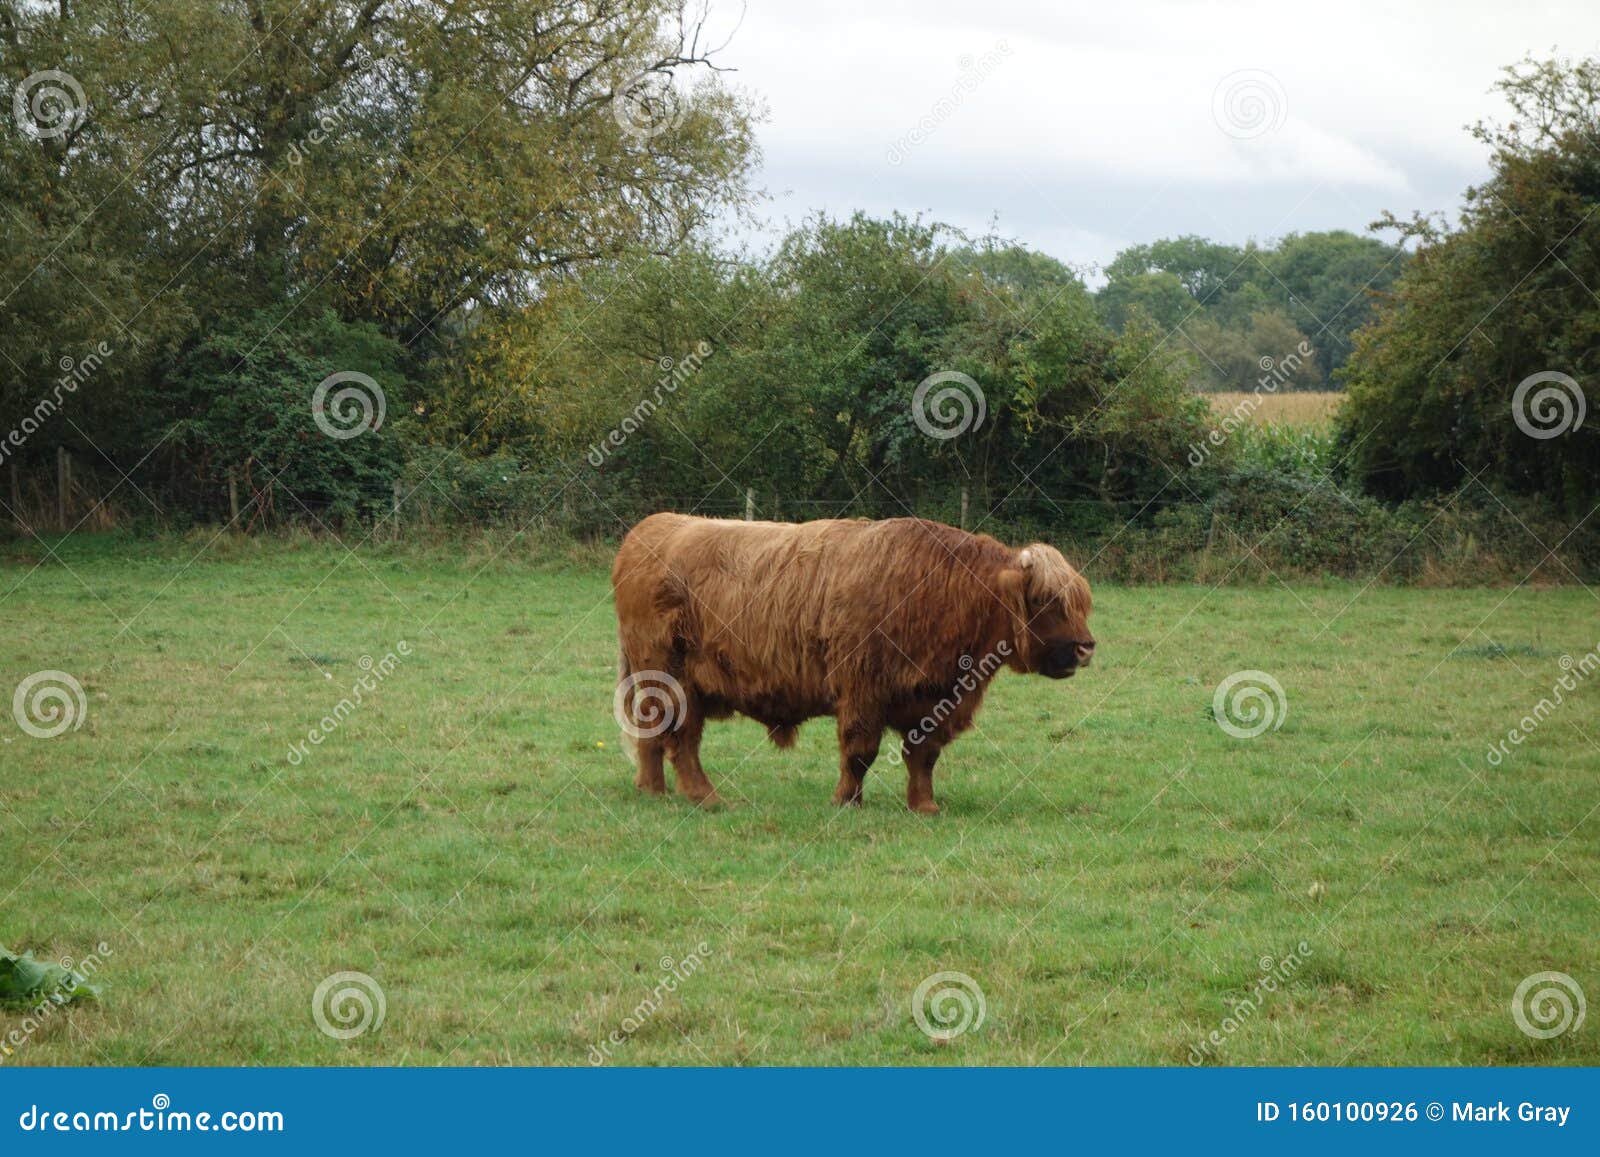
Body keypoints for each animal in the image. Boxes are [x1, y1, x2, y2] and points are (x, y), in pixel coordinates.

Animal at [611, 513, 1095, 813]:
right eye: (1047, 599)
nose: (1087, 647)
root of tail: (651, 529)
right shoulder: (863, 688)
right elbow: (860, 751)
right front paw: (846, 800)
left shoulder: (933, 701)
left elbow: (924, 756)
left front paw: (924, 806)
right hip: (672, 677)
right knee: (682, 739)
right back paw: (705, 797)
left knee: (653, 735)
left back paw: (653, 790)